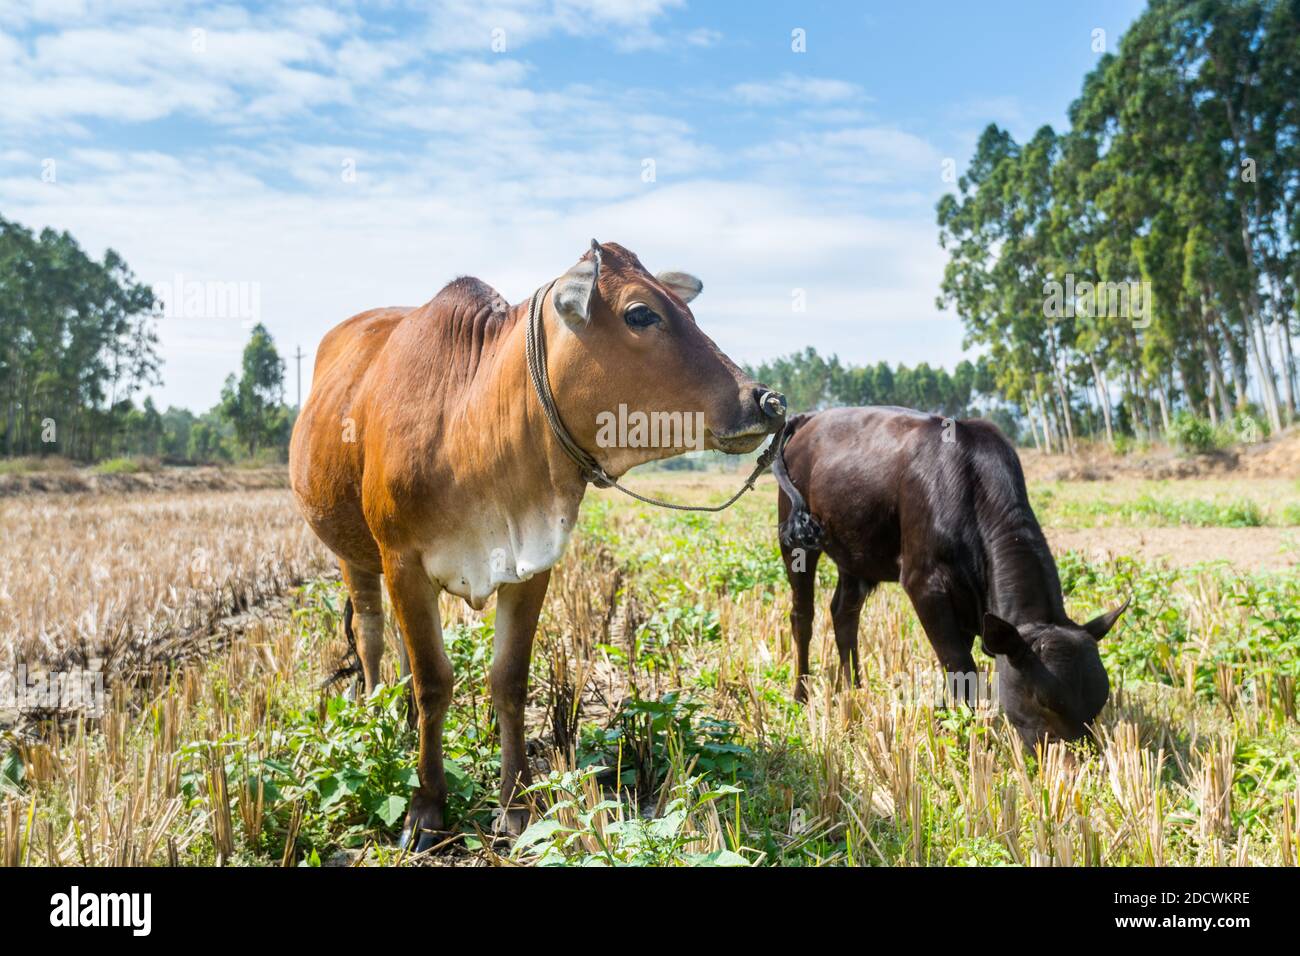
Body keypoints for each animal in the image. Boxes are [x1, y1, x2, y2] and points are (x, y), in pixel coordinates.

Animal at [289, 241, 785, 850]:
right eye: (641, 313)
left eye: (688, 311)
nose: (766, 401)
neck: (469, 421)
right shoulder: (402, 560)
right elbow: (434, 682)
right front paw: (426, 808)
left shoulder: (532, 565)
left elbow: (509, 680)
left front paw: (517, 804)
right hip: (355, 555)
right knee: (372, 637)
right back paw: (379, 716)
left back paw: (400, 719)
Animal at [770, 406, 1128, 750]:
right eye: (1043, 701)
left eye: (1101, 699)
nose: (1077, 759)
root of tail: (810, 418)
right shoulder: (925, 584)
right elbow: (960, 665)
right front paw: (971, 740)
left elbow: (954, 666)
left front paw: (946, 724)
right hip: (795, 537)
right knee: (802, 616)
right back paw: (801, 695)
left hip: (855, 555)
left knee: (844, 614)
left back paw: (853, 690)